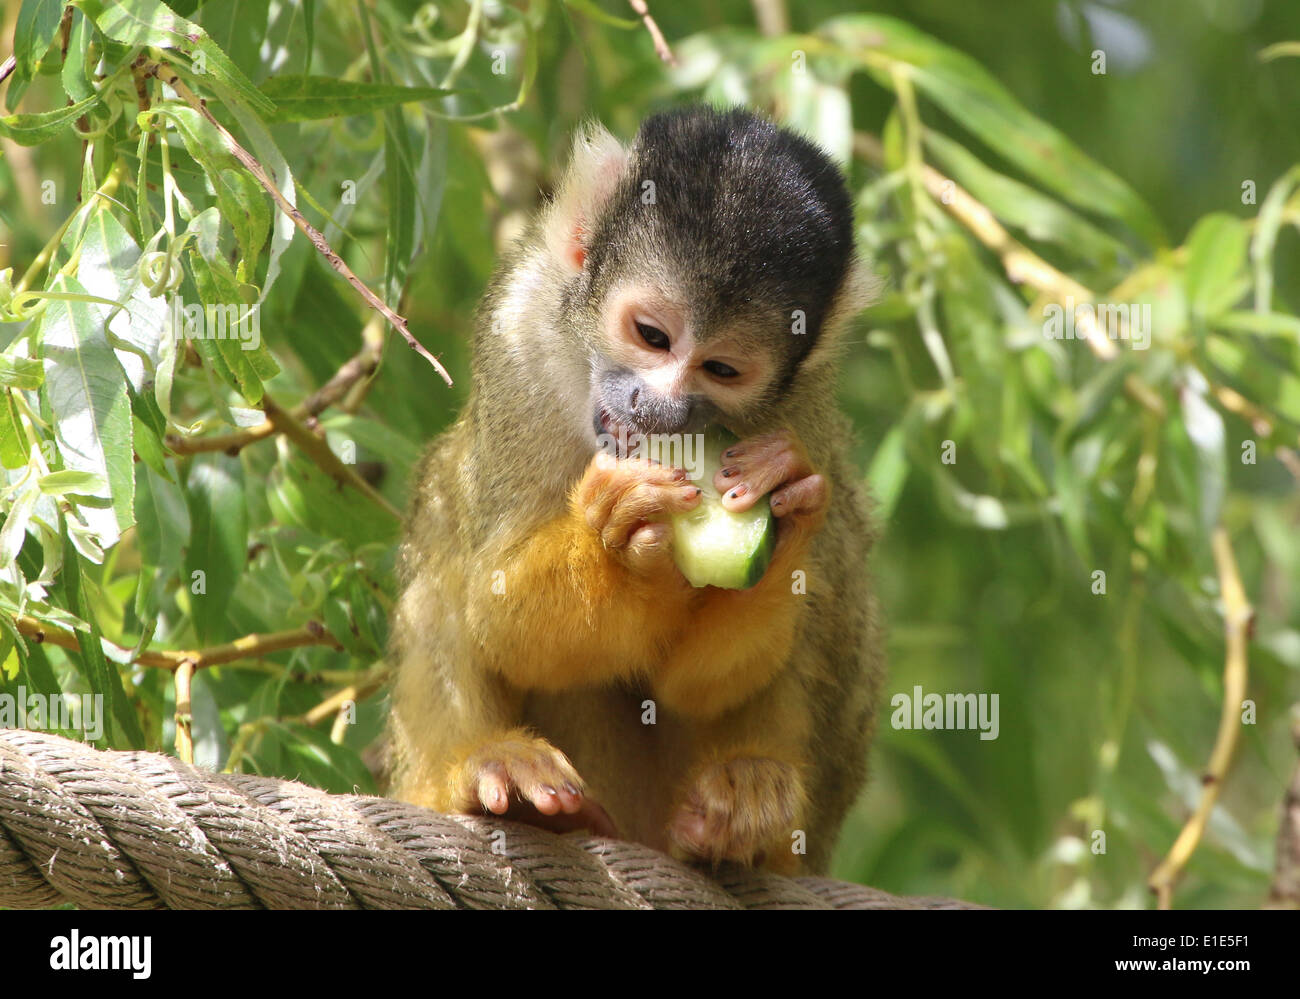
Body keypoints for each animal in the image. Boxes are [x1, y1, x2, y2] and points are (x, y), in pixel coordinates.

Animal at [388, 105, 883, 875]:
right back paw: (486, 774)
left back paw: (746, 813)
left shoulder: (798, 409)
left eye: (721, 369)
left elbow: (700, 682)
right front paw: (612, 540)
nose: (659, 409)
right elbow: (499, 616)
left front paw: (782, 521)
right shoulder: (520, 331)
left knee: (837, 569)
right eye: (651, 334)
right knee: (448, 506)